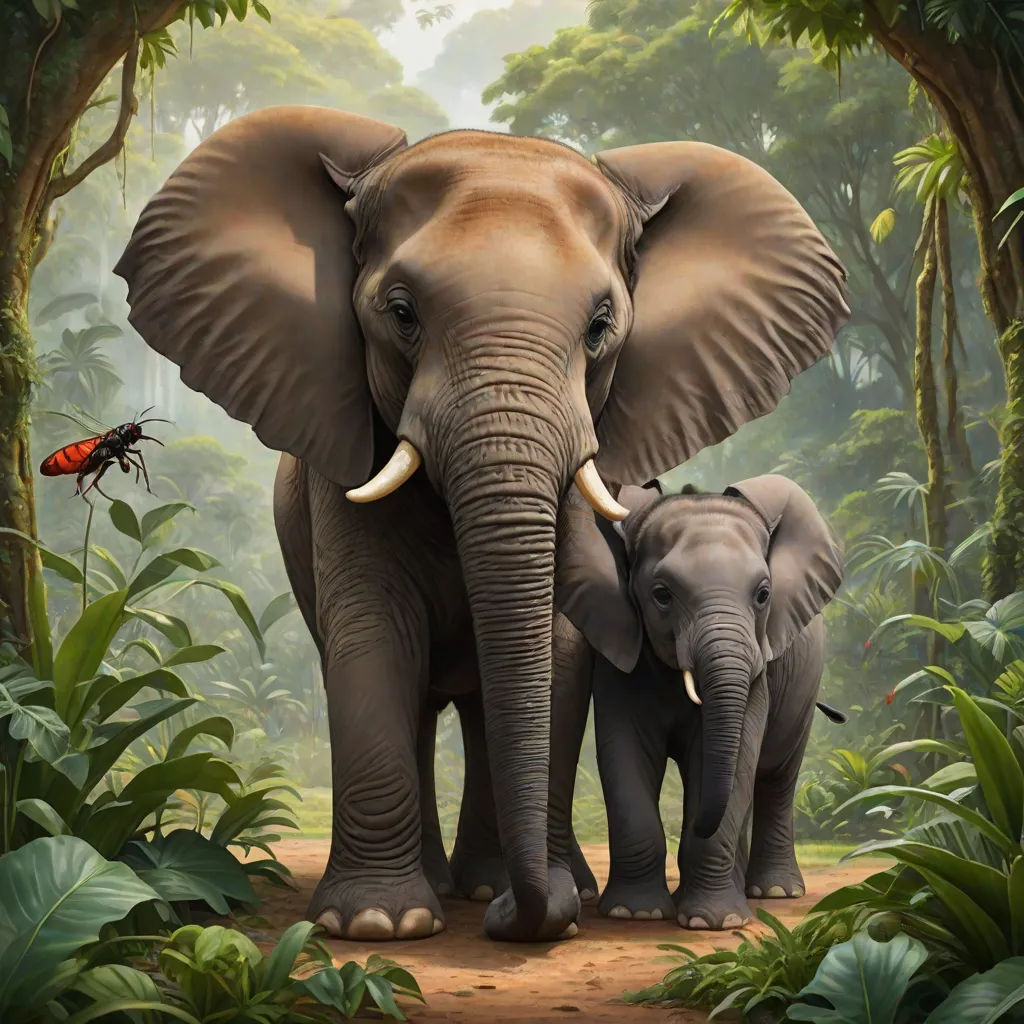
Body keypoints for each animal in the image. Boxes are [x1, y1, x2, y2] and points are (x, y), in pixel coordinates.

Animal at [556, 476, 844, 930]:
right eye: (661, 595)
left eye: (764, 594)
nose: (695, 826)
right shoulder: (624, 653)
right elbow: (625, 751)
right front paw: (636, 913)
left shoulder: (758, 671)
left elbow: (736, 755)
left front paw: (715, 922)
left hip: (805, 684)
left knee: (775, 776)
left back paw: (774, 893)